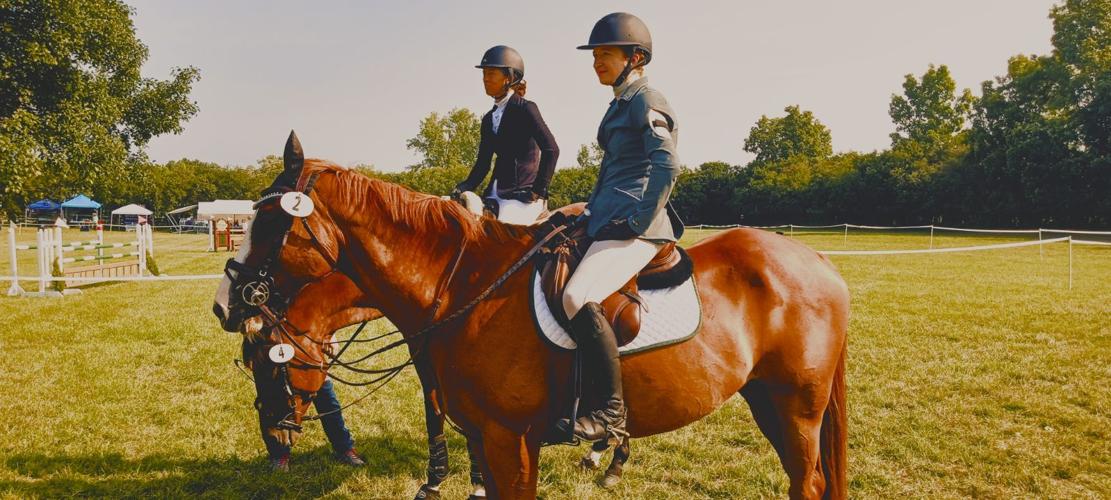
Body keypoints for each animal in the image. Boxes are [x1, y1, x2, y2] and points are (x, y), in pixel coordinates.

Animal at [214, 133, 849, 499]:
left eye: (269, 220)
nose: (225, 301)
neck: (461, 286)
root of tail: (817, 260)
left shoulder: (509, 439)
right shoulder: (480, 427)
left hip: (796, 409)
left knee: (809, 482)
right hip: (767, 399)